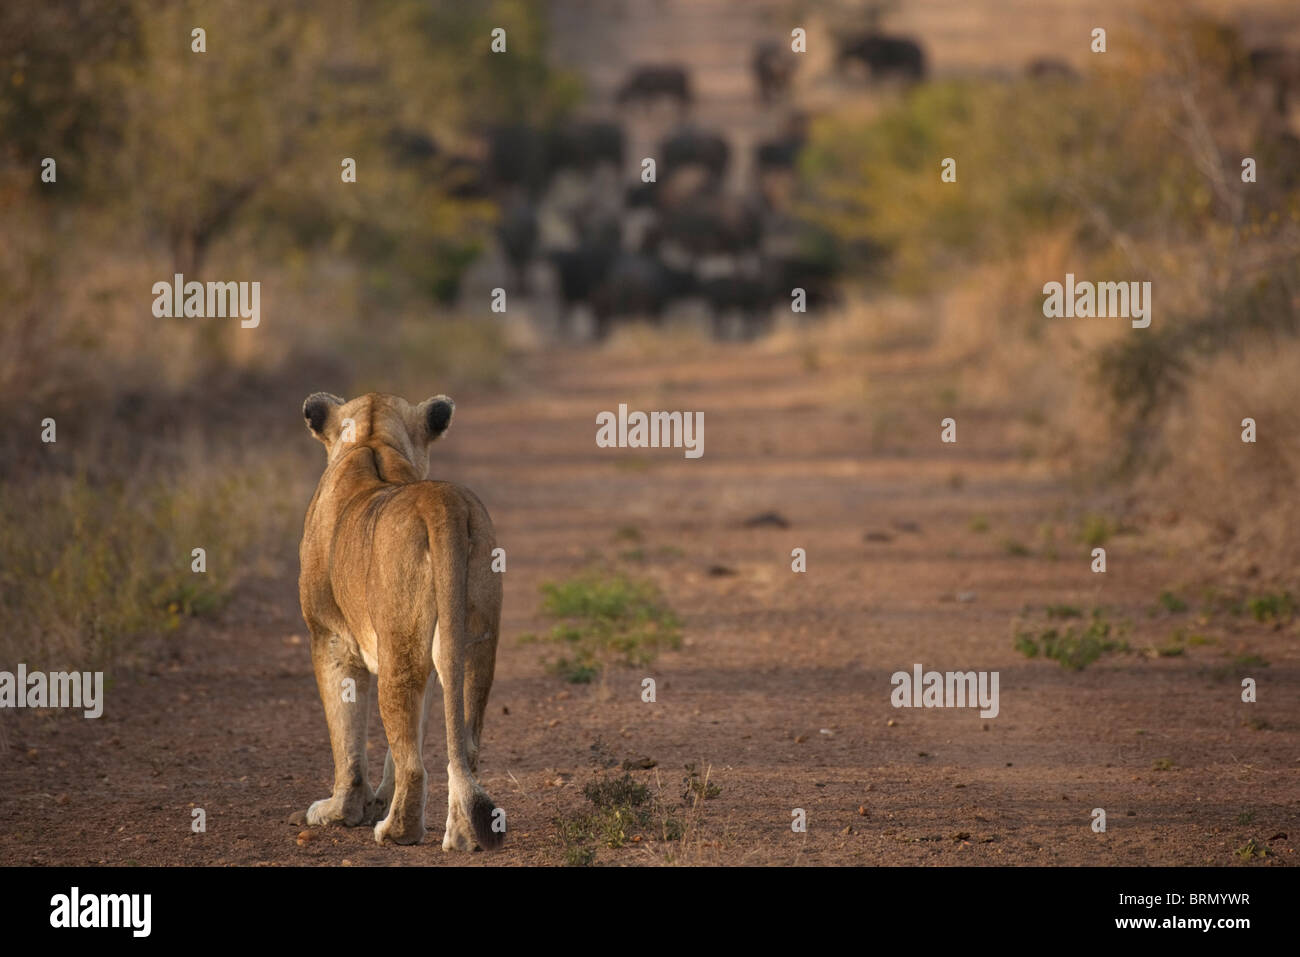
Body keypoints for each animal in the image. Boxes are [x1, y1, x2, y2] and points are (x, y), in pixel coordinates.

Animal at [298, 391, 504, 850]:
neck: (371, 443)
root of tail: (443, 503)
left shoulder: (330, 639)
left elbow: (346, 736)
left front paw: (341, 810)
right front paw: (377, 802)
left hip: (399, 652)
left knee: (414, 764)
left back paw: (395, 831)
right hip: (473, 642)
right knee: (464, 743)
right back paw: (460, 835)